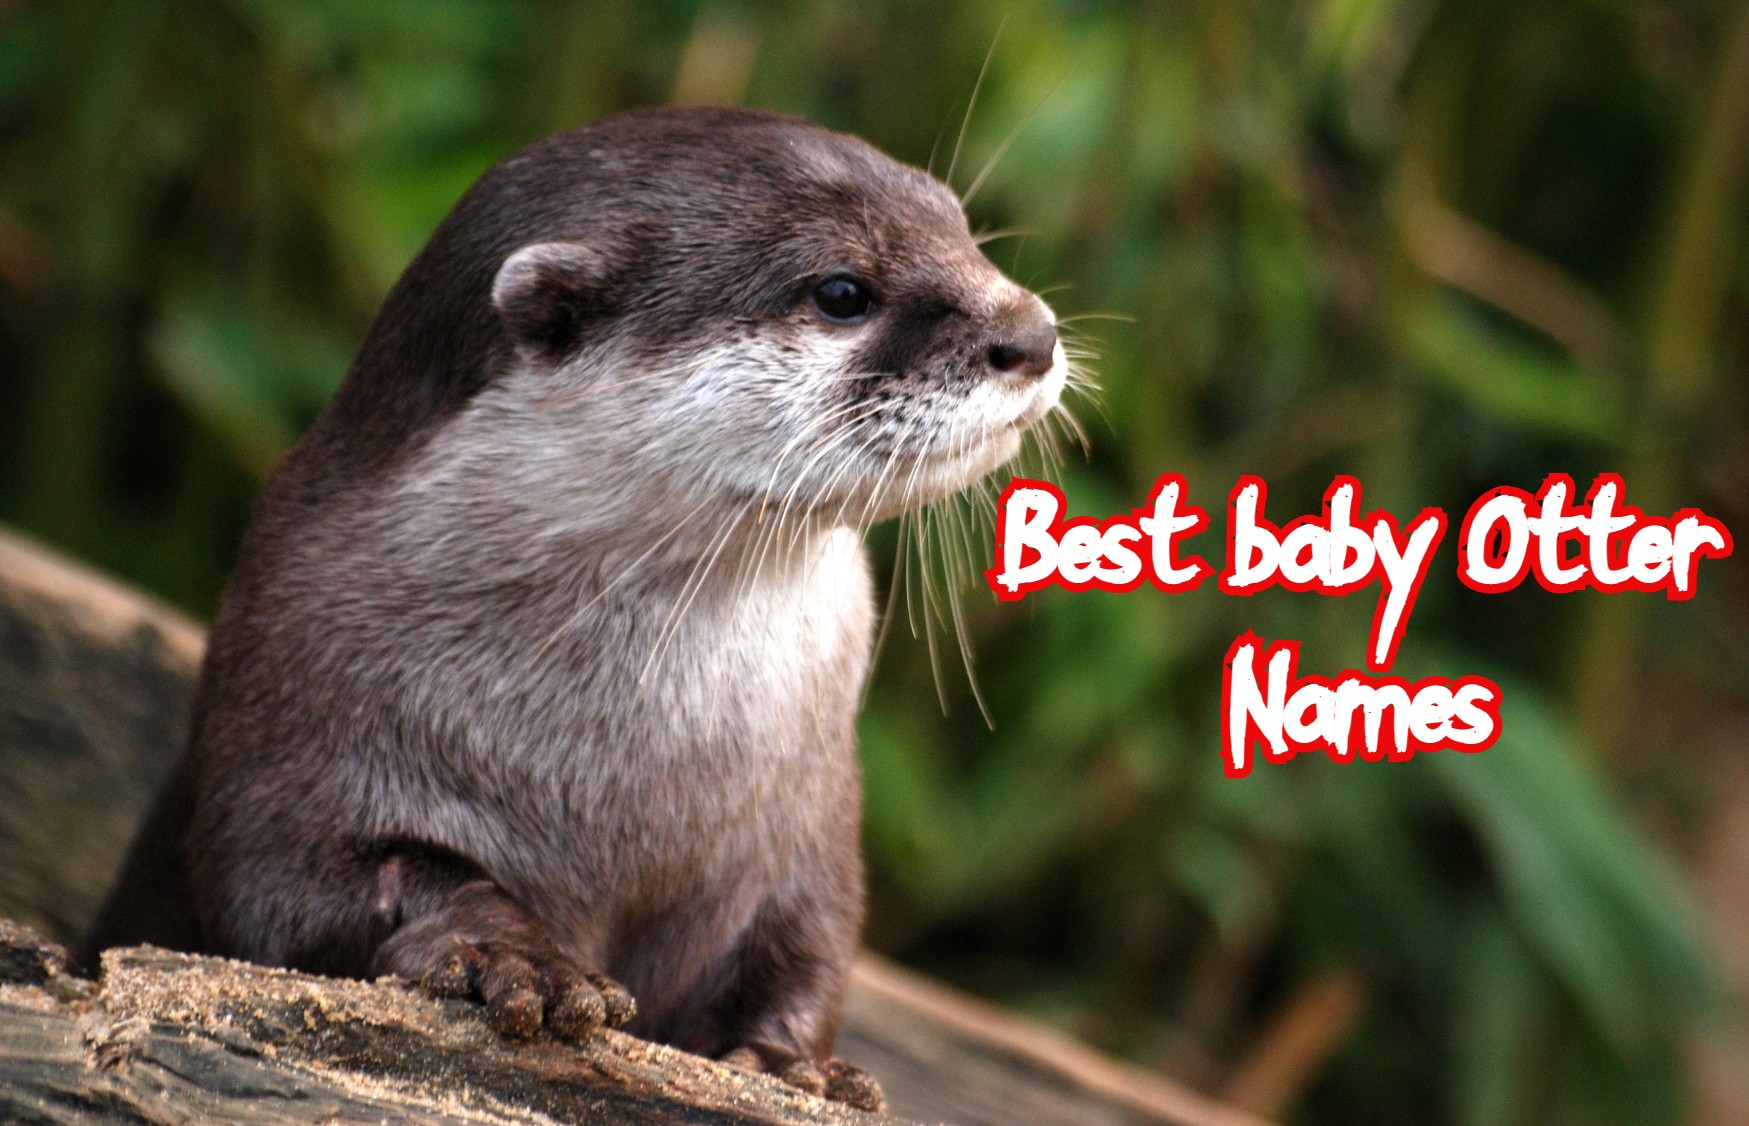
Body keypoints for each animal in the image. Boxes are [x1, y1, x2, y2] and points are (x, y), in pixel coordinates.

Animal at [82, 106, 1066, 1110]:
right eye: (841, 291)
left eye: (959, 227)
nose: (1030, 333)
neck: (626, 779)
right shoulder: (287, 703)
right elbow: (292, 893)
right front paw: (511, 956)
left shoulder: (809, 827)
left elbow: (810, 948)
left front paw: (791, 1064)